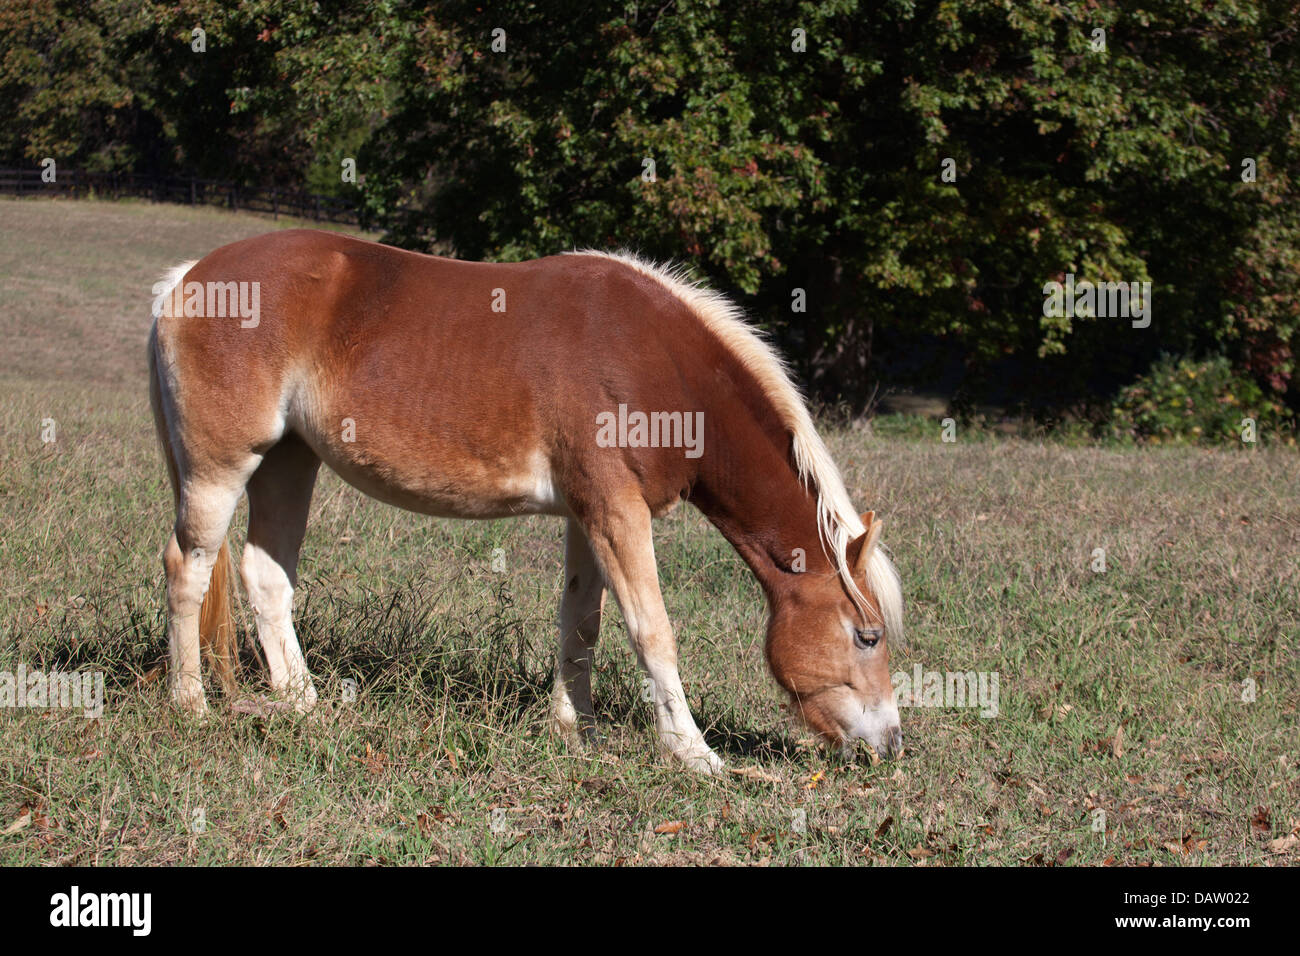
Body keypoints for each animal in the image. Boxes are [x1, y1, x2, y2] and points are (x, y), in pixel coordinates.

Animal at [147, 230, 905, 774]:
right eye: (866, 636)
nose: (891, 744)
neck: (660, 363)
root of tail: (185, 278)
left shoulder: (588, 515)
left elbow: (582, 623)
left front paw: (576, 731)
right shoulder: (616, 512)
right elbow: (651, 630)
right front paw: (694, 753)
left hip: (288, 461)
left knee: (265, 577)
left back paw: (304, 706)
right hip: (221, 468)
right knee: (188, 568)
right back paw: (189, 706)